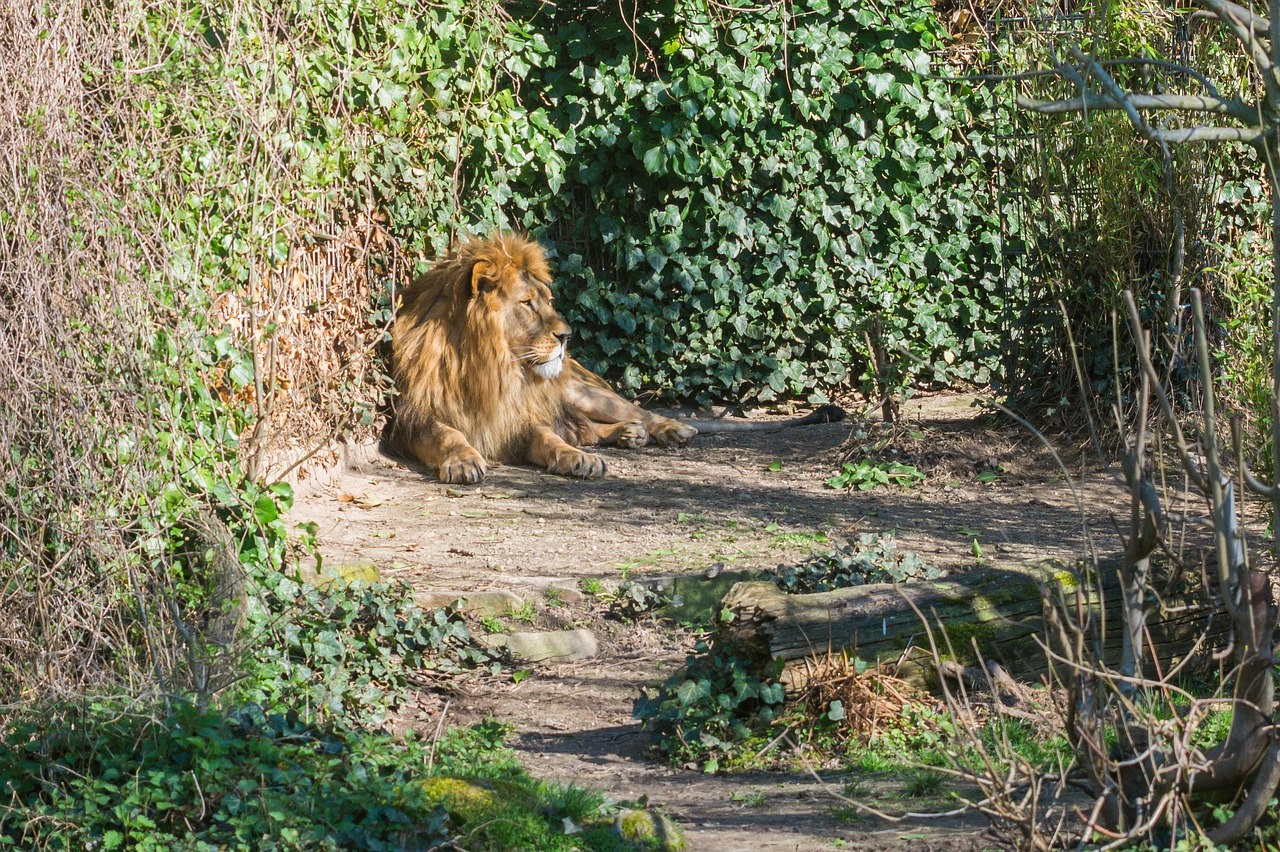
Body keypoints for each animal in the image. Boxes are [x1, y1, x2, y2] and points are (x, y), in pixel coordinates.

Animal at [387, 232, 844, 484]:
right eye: (527, 303)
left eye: (547, 300)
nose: (566, 336)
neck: (490, 367)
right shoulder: (412, 418)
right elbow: (448, 434)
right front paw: (464, 460)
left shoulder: (518, 418)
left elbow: (549, 438)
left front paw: (577, 460)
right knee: (589, 429)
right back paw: (626, 436)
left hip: (585, 392)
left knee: (637, 411)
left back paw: (667, 430)